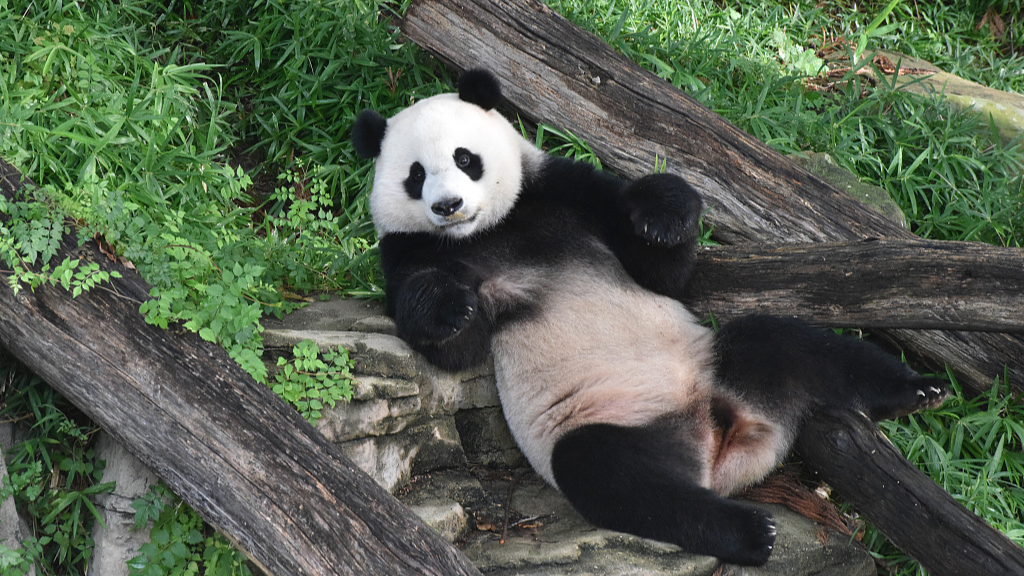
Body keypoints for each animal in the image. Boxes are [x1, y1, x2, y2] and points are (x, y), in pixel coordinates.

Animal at [352, 69, 947, 567]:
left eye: (465, 158)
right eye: (415, 176)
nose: (448, 206)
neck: (491, 232)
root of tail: (716, 447)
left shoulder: (560, 191)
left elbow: (667, 272)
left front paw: (663, 214)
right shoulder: (410, 252)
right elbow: (453, 343)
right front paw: (453, 308)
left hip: (719, 365)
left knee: (779, 342)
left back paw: (917, 391)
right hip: (613, 422)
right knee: (621, 480)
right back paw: (749, 532)